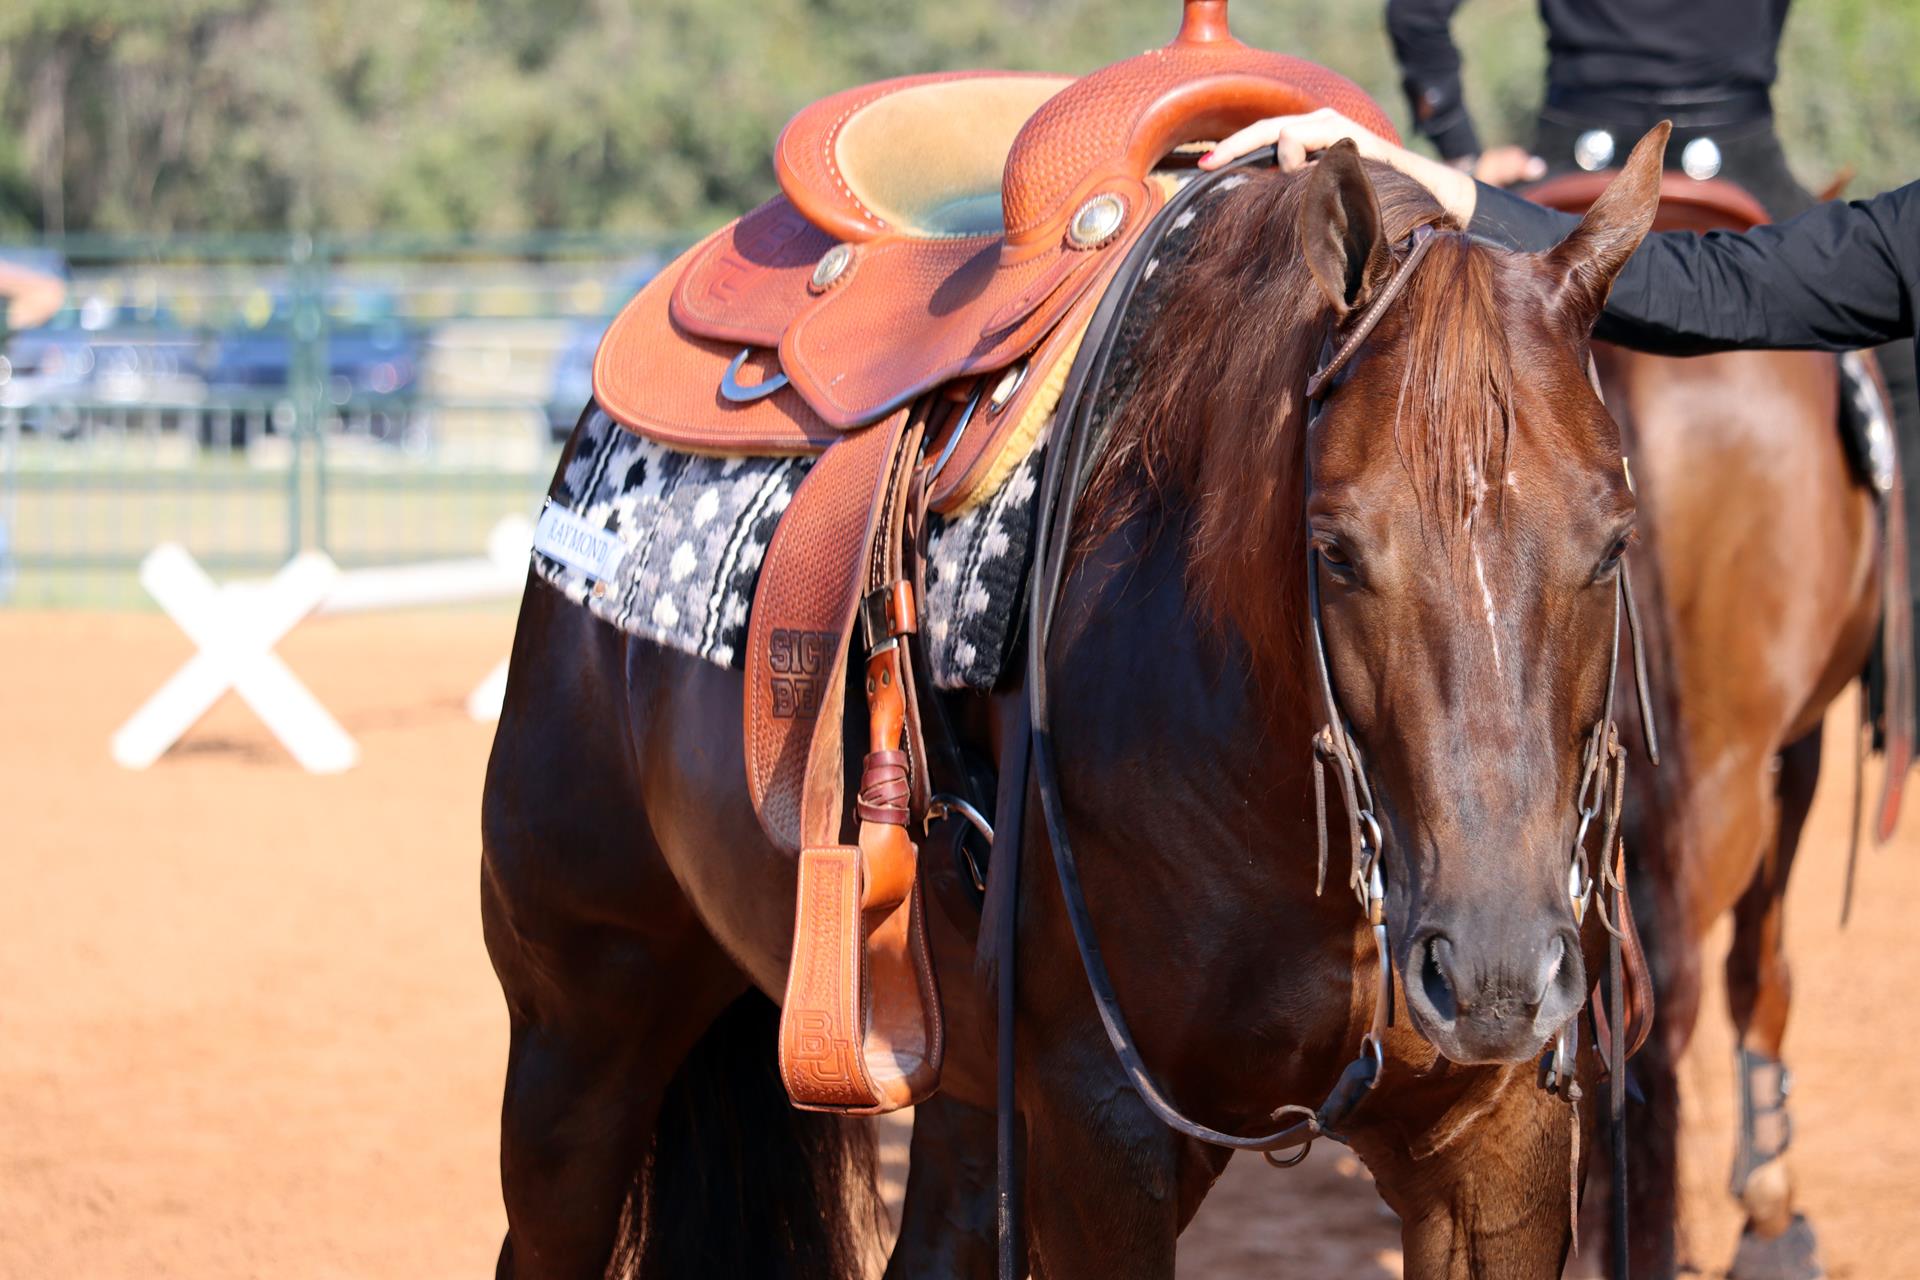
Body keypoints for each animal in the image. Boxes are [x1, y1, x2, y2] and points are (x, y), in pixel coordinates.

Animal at [479, 128, 1673, 1277]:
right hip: (577, 1030)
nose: (1495, 973)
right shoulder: (1102, 1128)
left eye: (1615, 543)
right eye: (1333, 549)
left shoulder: (1497, 1147)